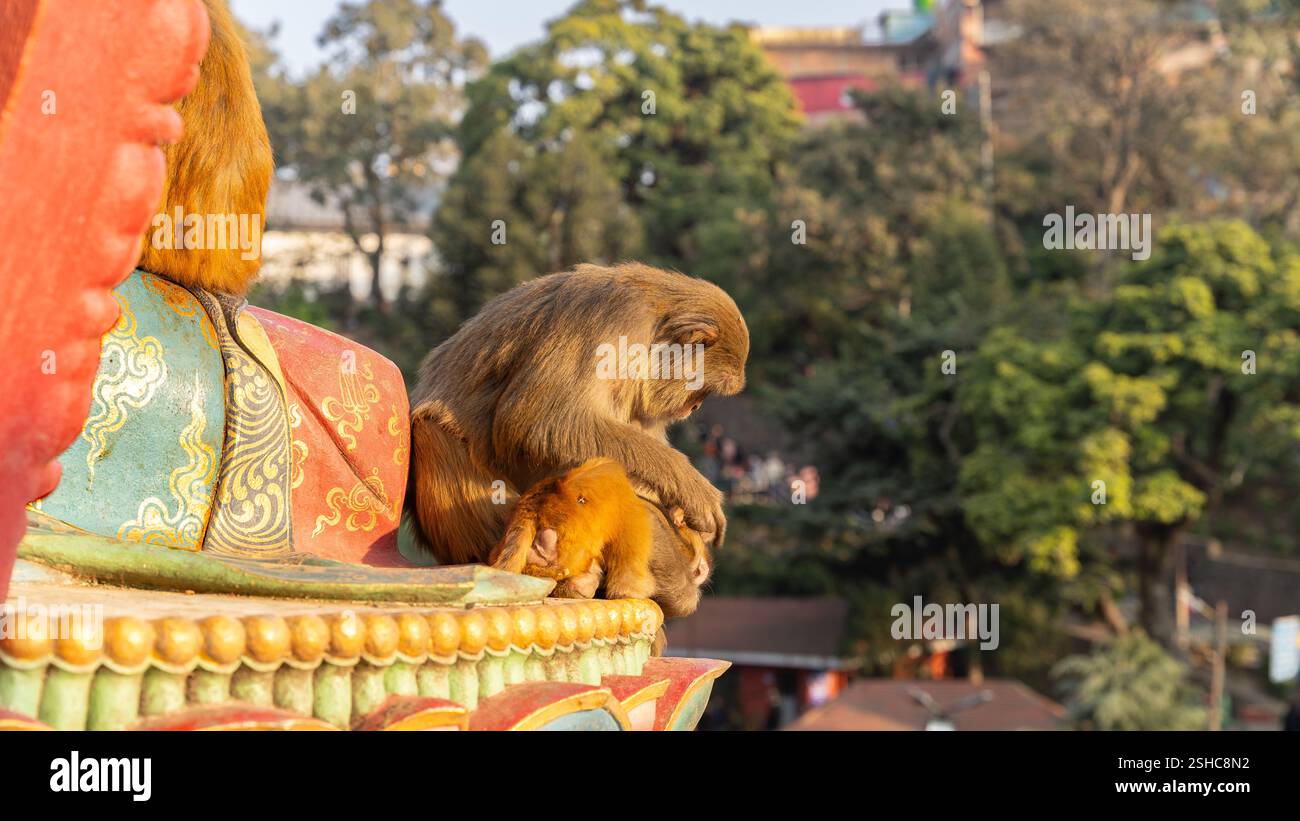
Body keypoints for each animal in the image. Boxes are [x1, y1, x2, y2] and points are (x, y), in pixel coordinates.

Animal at [408, 262, 748, 620]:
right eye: (703, 390)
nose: (693, 407)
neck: (652, 321)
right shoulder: (612, 320)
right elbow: (538, 421)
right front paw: (693, 491)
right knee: (432, 432)